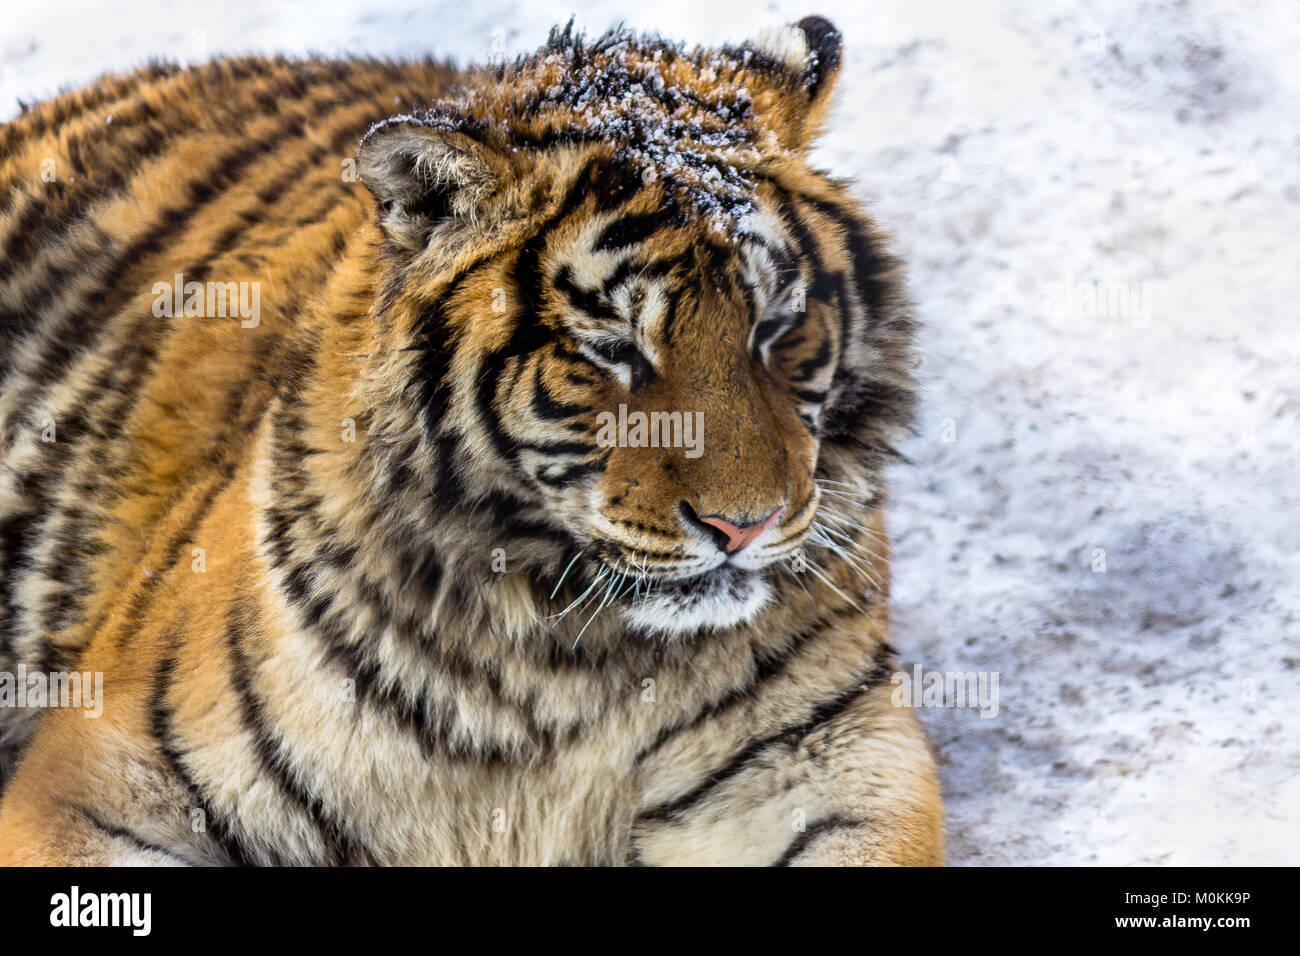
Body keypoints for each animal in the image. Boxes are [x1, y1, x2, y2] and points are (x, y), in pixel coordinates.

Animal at [0, 16, 943, 866]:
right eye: (612, 345)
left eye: (776, 325)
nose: (746, 526)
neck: (564, 658)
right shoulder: (104, 776)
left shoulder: (830, 762)